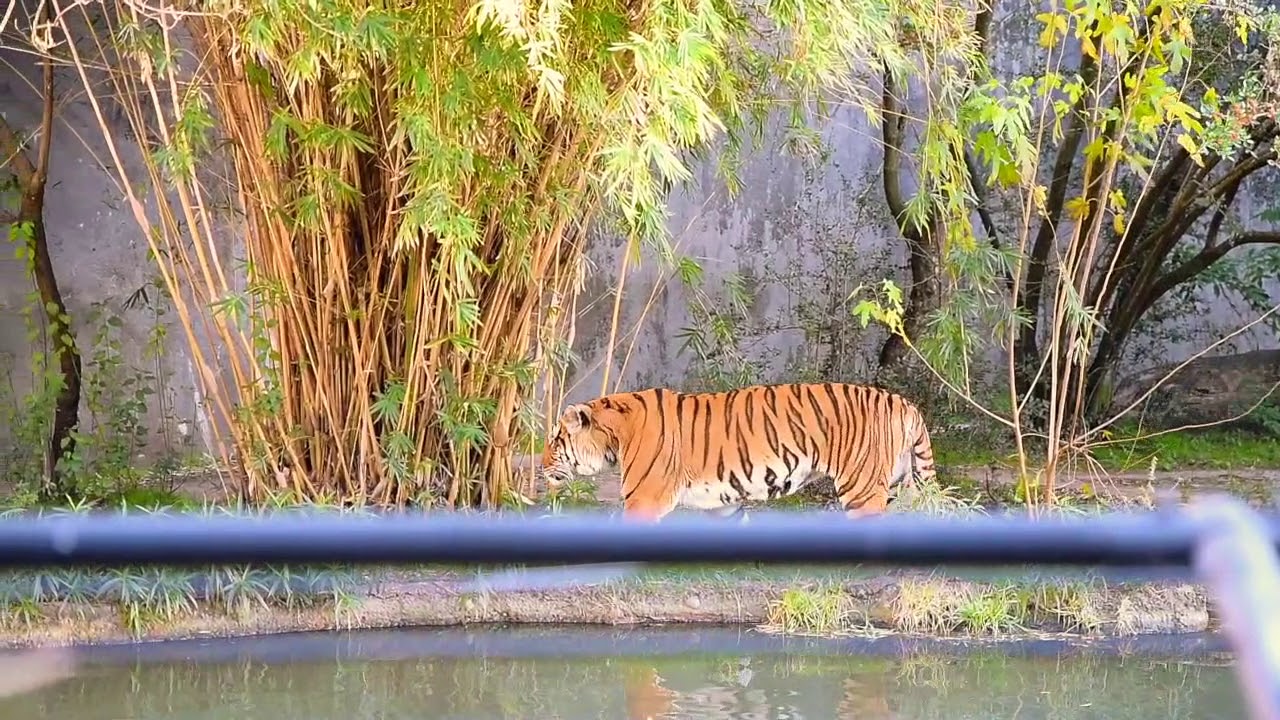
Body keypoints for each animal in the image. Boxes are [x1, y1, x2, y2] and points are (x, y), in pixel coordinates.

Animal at [540, 382, 936, 521]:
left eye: (555, 441)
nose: (540, 468)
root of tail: (903, 402)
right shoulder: (723, 500)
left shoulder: (644, 500)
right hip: (904, 485)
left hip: (863, 488)